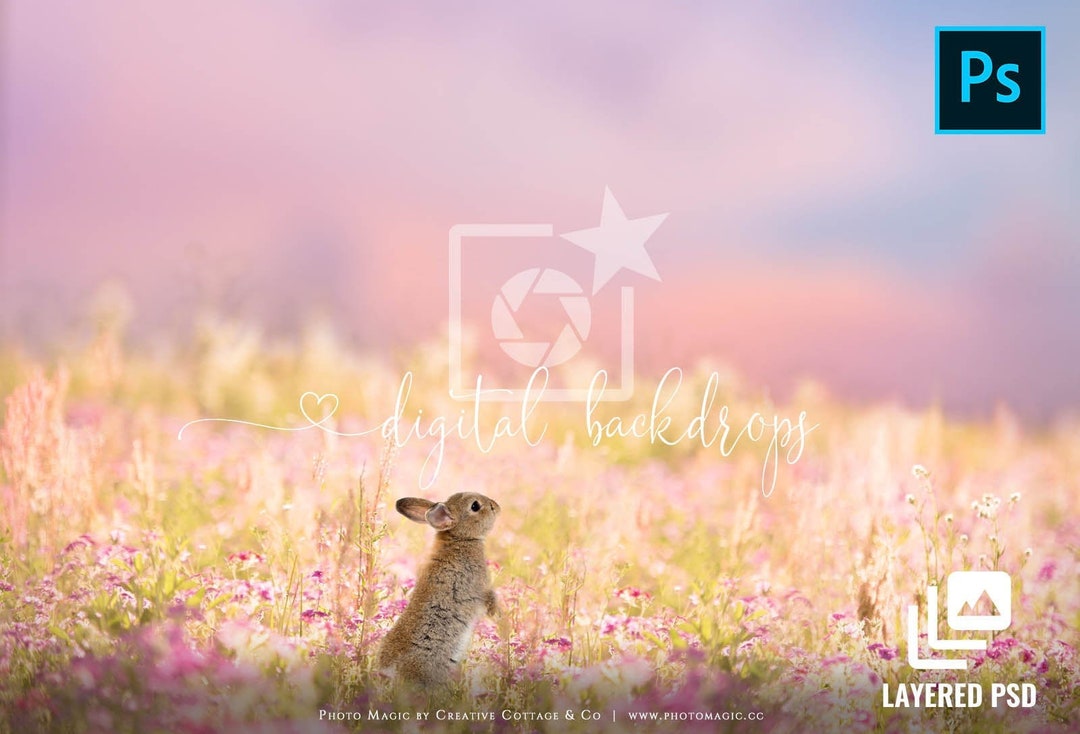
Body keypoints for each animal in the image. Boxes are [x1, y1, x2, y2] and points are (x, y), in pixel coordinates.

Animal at [376, 492, 501, 688]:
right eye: (475, 506)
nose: (496, 506)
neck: (460, 538)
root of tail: (388, 672)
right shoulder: (480, 587)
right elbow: (489, 598)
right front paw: (498, 616)